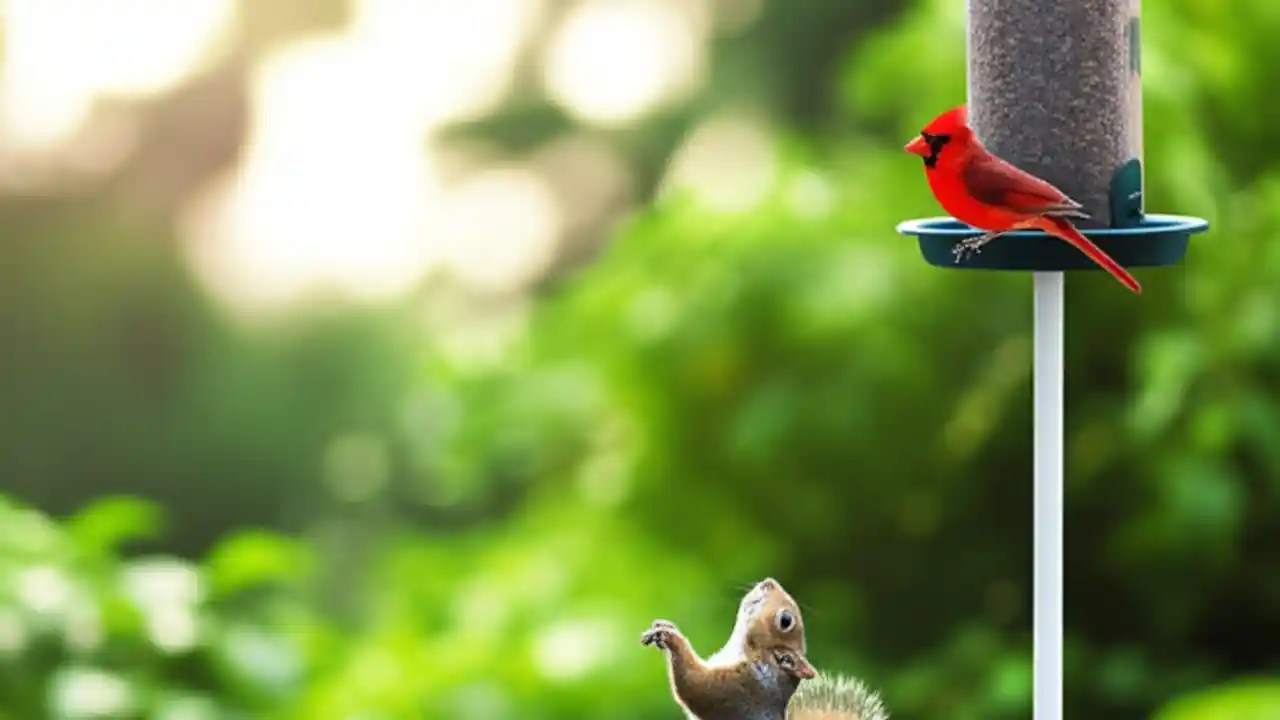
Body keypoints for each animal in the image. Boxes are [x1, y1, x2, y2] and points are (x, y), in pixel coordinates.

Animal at [641, 578, 888, 720]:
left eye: (786, 621)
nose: (770, 582)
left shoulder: (736, 688)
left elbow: (694, 685)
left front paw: (673, 638)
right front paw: (667, 626)